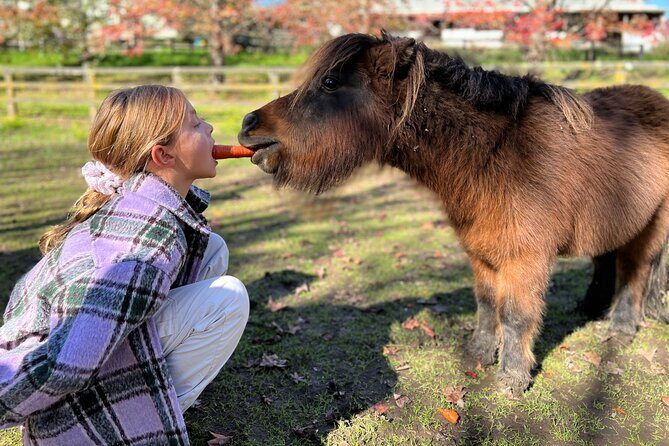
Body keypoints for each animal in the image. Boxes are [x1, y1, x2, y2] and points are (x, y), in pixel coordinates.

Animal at [237, 31, 669, 396]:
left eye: (329, 83)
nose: (247, 124)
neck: (494, 154)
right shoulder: (481, 252)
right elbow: (486, 304)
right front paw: (477, 354)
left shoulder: (525, 260)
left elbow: (515, 316)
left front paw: (511, 380)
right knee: (606, 262)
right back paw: (591, 308)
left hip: (650, 229)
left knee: (635, 273)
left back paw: (620, 328)